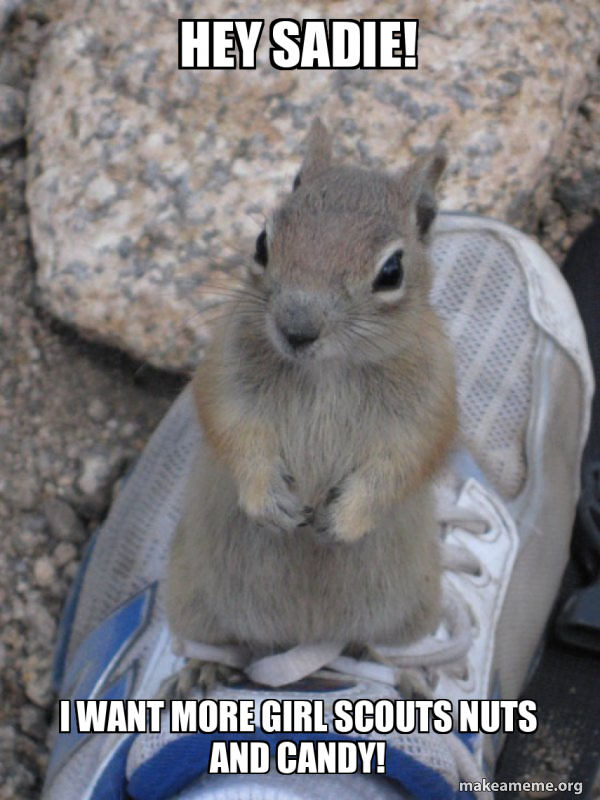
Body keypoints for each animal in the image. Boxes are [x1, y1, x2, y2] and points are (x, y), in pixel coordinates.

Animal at [166, 119, 457, 682]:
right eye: (263, 242)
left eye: (392, 271)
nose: (296, 329)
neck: (325, 371)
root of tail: (307, 634)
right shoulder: (227, 377)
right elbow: (235, 432)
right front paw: (268, 499)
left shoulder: (428, 407)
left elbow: (402, 463)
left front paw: (345, 518)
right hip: (190, 597)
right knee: (227, 644)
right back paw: (204, 672)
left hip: (415, 610)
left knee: (367, 643)